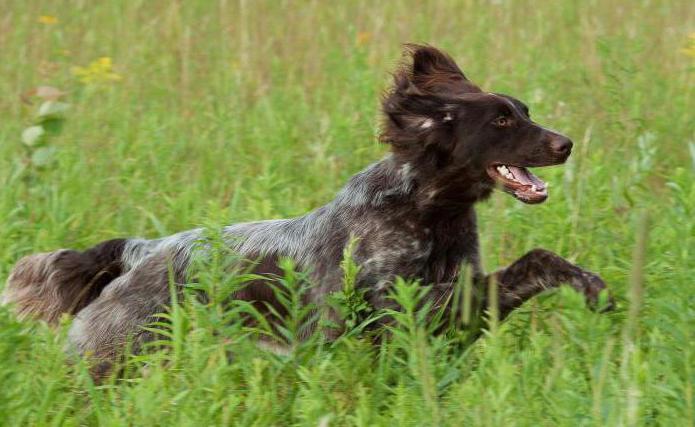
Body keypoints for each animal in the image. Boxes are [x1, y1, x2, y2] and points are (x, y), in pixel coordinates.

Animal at [2, 44, 608, 378]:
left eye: (525, 111)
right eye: (502, 120)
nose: (566, 144)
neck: (429, 210)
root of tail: (138, 250)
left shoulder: (450, 310)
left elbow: (536, 262)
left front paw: (589, 284)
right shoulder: (395, 309)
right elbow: (526, 261)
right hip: (110, 356)